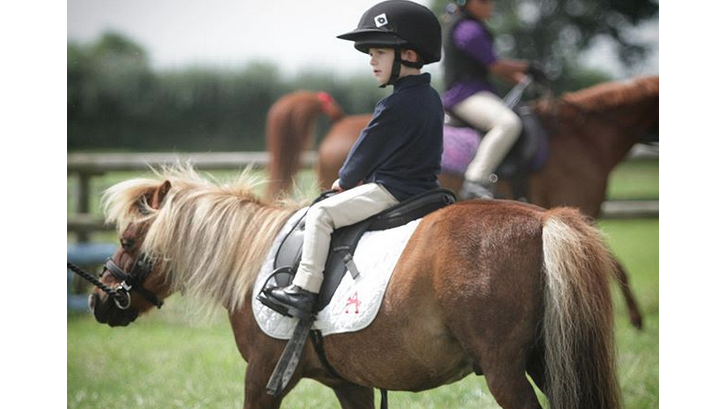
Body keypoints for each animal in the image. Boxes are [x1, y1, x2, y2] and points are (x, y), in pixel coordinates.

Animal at [90, 165, 621, 409]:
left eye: (128, 240)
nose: (99, 299)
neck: (253, 253)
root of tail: (545, 221)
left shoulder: (261, 376)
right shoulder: (351, 384)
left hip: (506, 372)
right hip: (549, 361)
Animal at [266, 76, 659, 329]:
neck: (583, 137)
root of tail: (341, 121)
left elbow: (615, 265)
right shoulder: (579, 212)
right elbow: (616, 265)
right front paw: (636, 318)